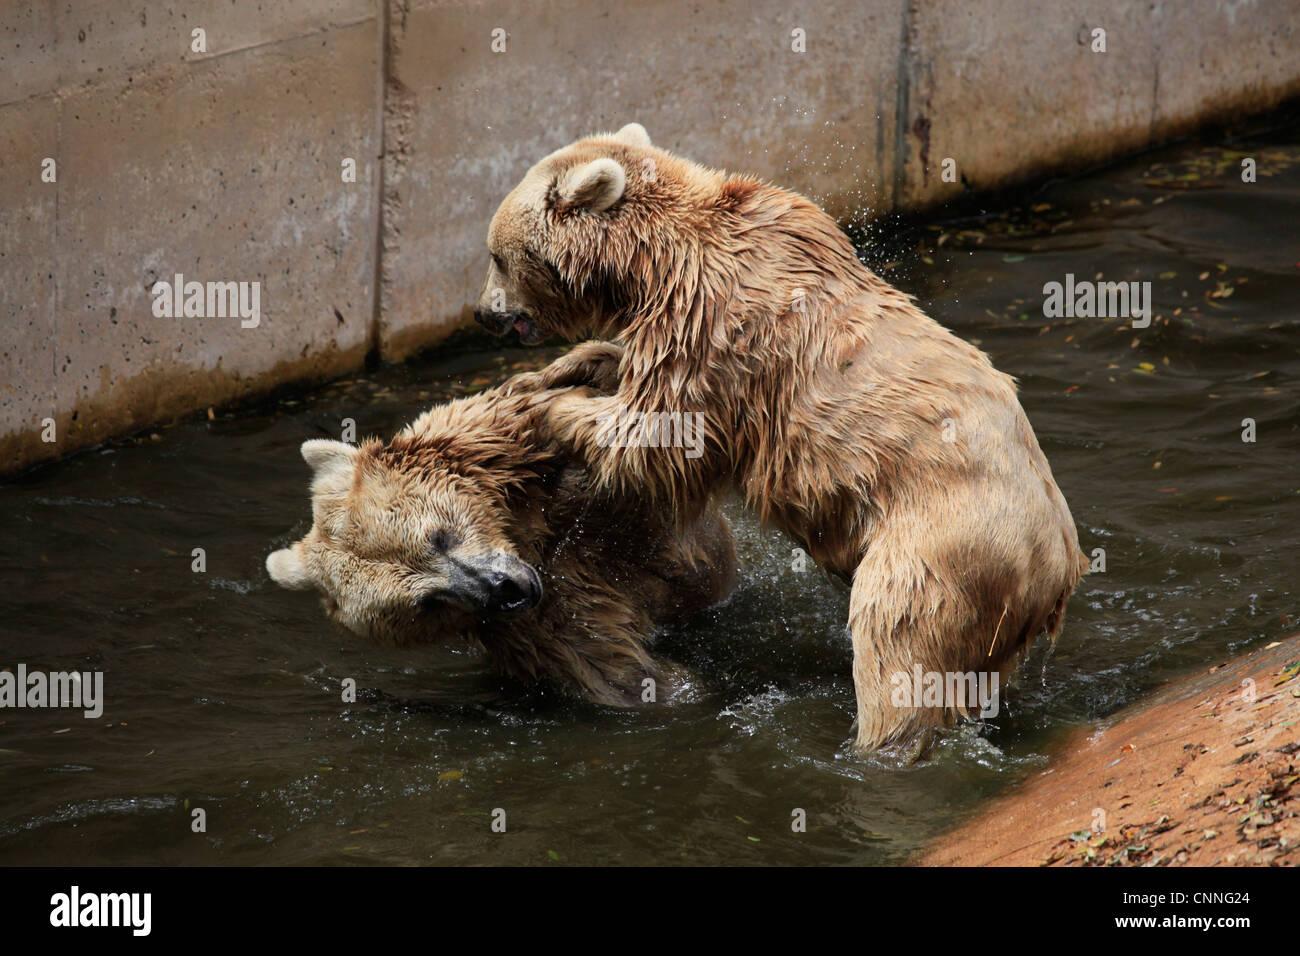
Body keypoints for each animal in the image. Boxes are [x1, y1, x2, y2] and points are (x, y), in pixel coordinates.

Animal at [265, 348, 738, 707]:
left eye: (438, 537)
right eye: (428, 603)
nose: (507, 589)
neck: (530, 533)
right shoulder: (549, 625)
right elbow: (618, 668)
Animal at [473, 122, 1089, 752]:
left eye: (496, 255)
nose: (483, 314)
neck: (654, 261)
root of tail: (1057, 568)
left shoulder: (716, 325)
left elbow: (657, 432)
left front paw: (540, 406)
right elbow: (630, 376)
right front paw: (563, 369)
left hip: (941, 544)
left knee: (899, 644)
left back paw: (877, 742)